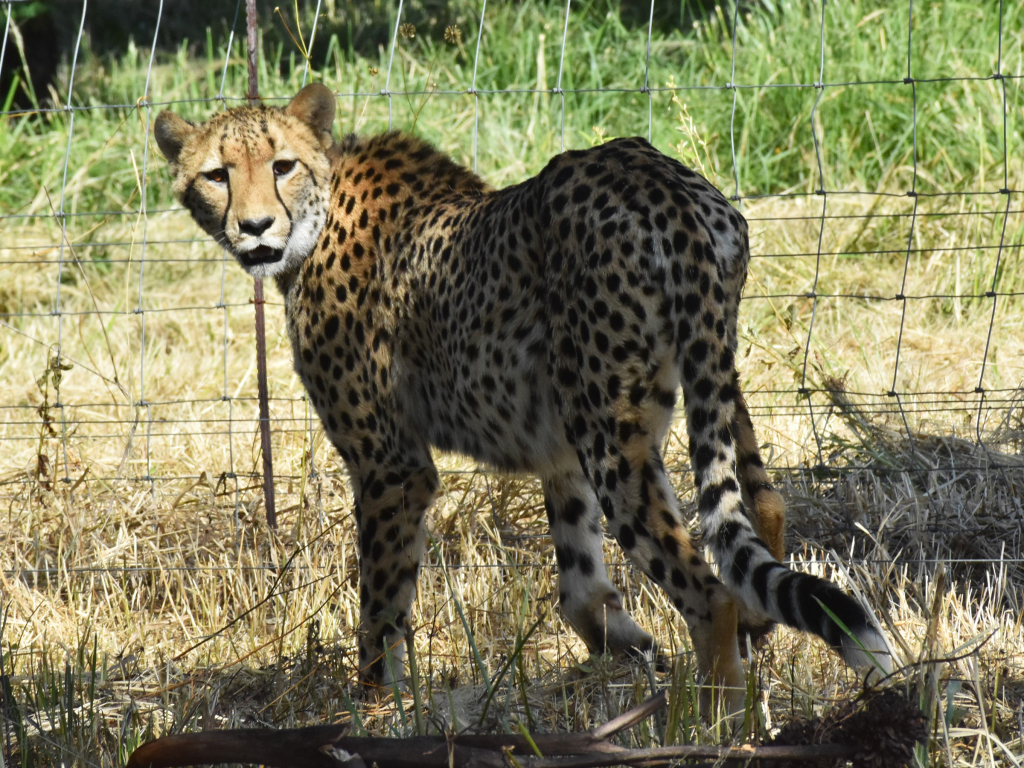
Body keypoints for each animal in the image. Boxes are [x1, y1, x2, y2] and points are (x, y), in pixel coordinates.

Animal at [155, 83, 891, 712]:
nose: (254, 228)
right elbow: (581, 589)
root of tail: (657, 178)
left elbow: (382, 608)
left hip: (611, 433)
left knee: (710, 593)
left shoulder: (393, 468)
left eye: (281, 165)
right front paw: (632, 647)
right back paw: (756, 642)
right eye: (216, 174)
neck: (322, 204)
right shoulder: (558, 454)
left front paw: (372, 709)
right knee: (759, 510)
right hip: (703, 375)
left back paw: (718, 722)